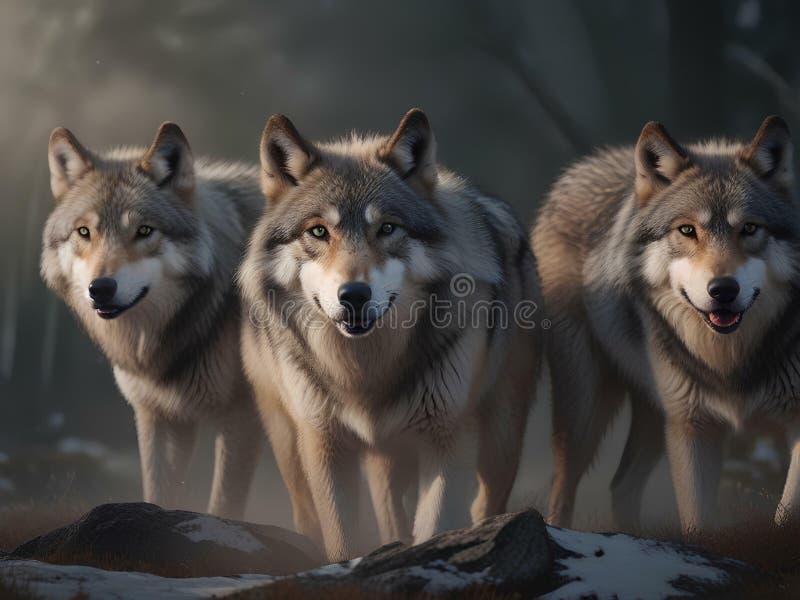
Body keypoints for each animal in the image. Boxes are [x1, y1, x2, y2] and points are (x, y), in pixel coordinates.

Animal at [41, 122, 265, 519]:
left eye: (144, 231)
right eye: (84, 232)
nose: (100, 288)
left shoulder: (241, 419)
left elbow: (224, 504)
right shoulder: (159, 417)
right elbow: (159, 494)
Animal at [239, 108, 541, 560]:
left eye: (387, 228)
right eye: (318, 232)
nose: (353, 295)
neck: (366, 373)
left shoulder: (447, 439)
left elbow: (435, 528)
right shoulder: (325, 444)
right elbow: (343, 541)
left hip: (499, 439)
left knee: (483, 503)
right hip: (293, 446)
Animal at [533, 115, 800, 532]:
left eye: (749, 229)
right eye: (687, 230)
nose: (723, 290)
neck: (728, 361)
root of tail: (581, 168)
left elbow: (786, 515)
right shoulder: (692, 429)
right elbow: (698, 522)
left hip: (654, 417)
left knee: (621, 484)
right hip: (585, 409)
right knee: (563, 487)